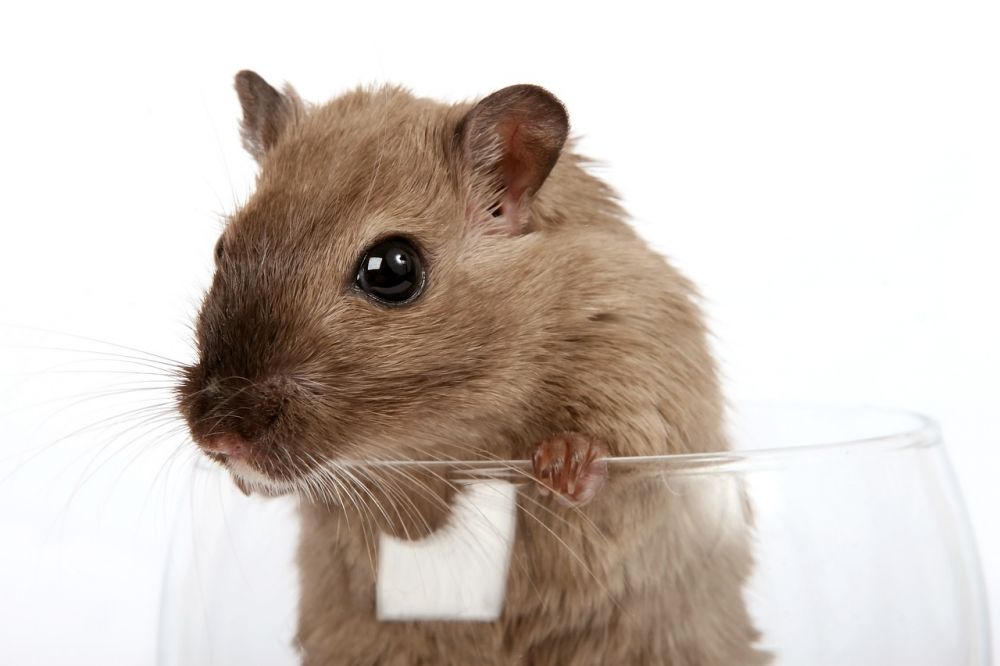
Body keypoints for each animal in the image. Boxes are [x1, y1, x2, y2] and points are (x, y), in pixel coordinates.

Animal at [177, 70, 769, 665]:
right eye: (221, 248)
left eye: (392, 268)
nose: (220, 440)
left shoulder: (645, 358)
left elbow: (623, 446)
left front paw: (559, 466)